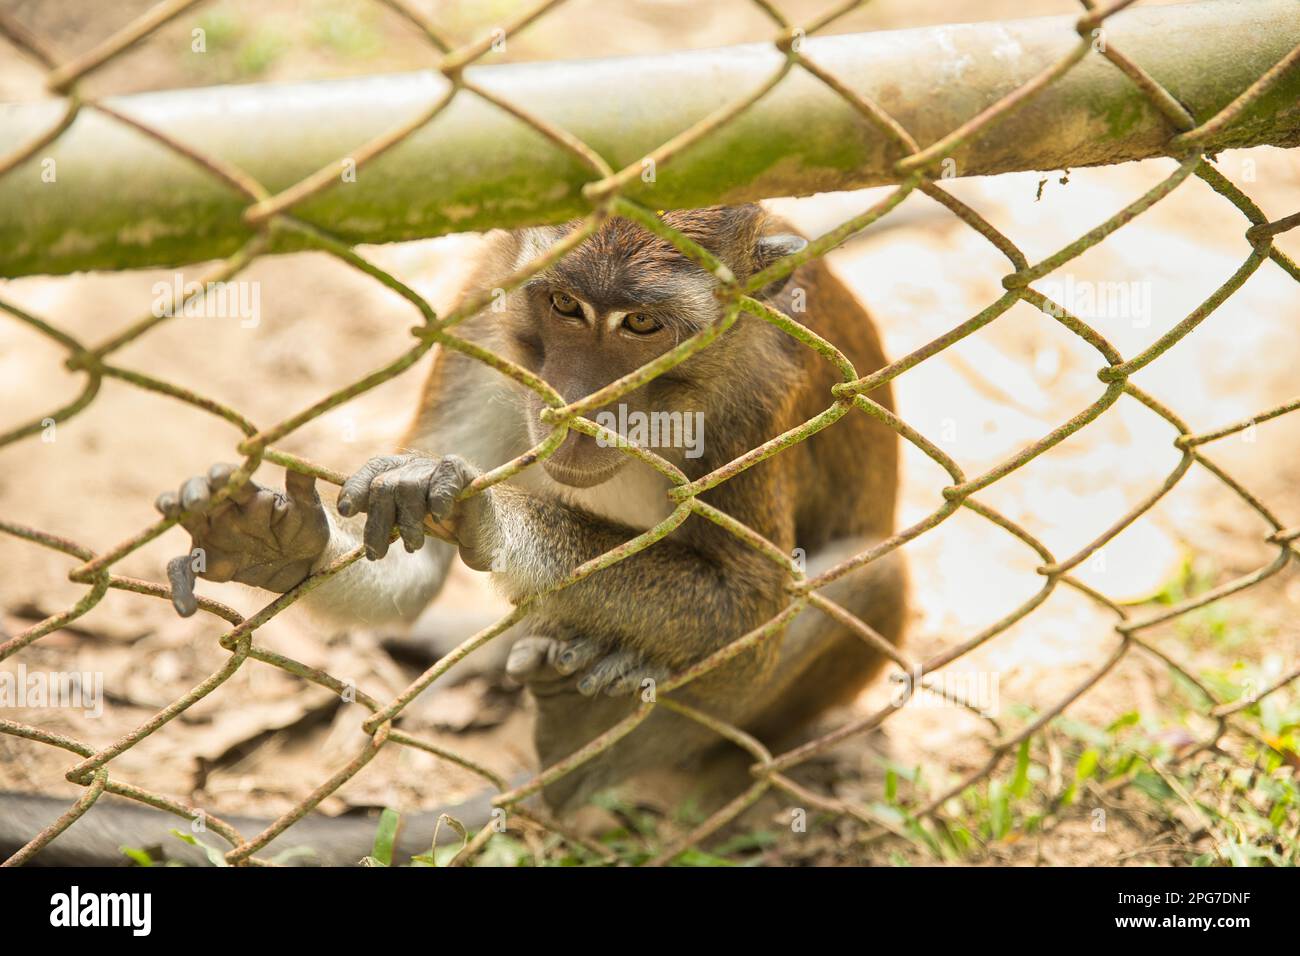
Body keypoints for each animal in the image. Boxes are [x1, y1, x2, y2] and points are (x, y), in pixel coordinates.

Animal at [0, 204, 906, 865]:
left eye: (644, 328)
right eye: (566, 306)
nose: (576, 401)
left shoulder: (759, 399)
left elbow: (758, 605)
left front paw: (492, 517)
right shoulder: (481, 323)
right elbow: (416, 568)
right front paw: (277, 543)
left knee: (867, 581)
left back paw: (586, 742)